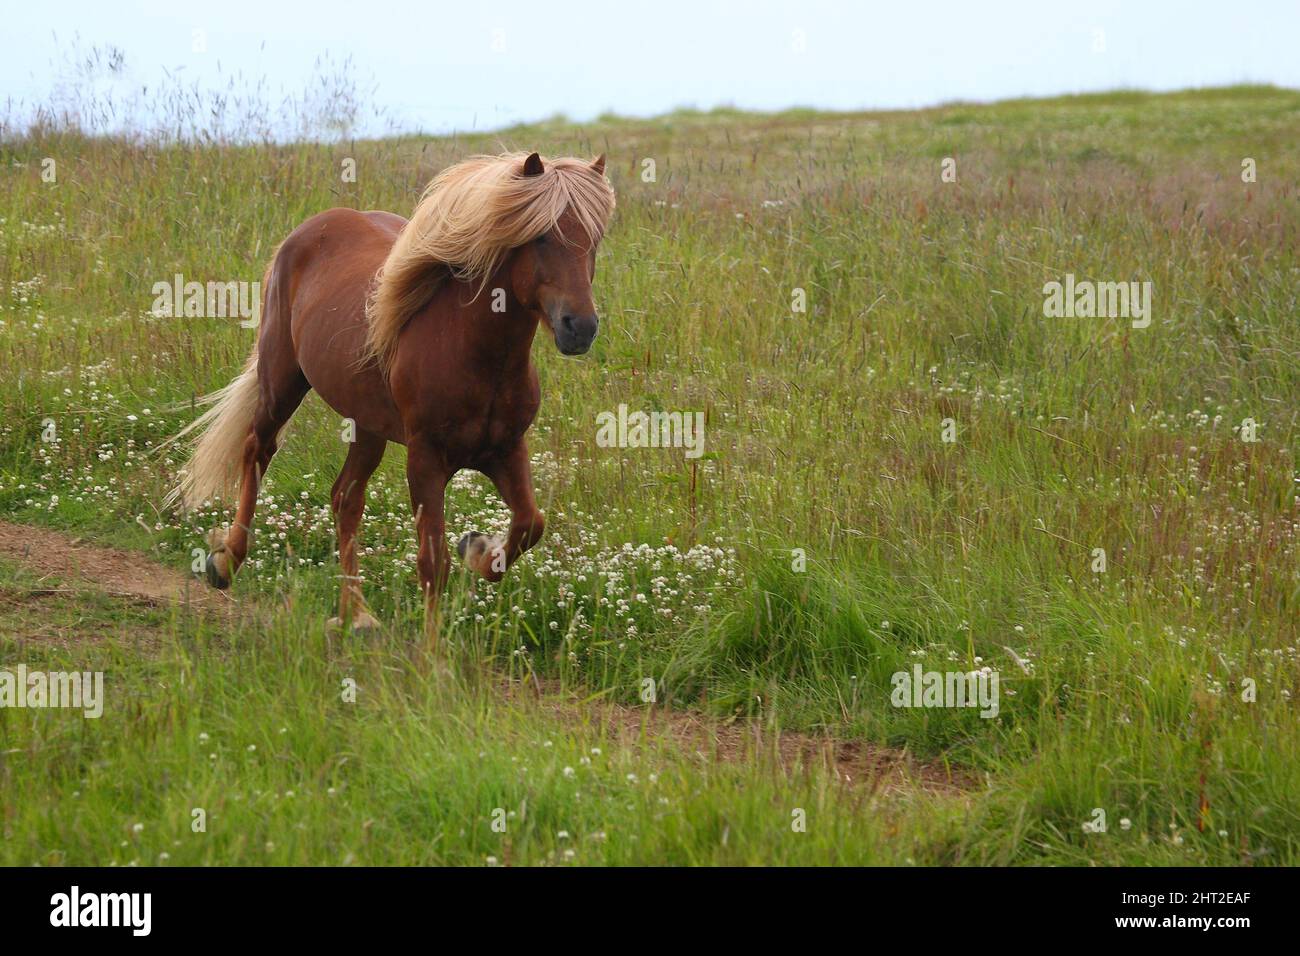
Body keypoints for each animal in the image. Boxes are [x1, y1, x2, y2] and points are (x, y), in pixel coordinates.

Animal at [166, 151, 616, 640]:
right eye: (541, 236)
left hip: (368, 424)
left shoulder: (506, 450)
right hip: (281, 382)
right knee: (257, 452)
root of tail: (309, 230)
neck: (476, 351)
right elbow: (433, 562)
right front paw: (434, 650)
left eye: (594, 239)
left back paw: (355, 613)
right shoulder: (425, 460)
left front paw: (477, 548)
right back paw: (226, 562)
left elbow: (531, 525)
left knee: (345, 499)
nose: (581, 328)